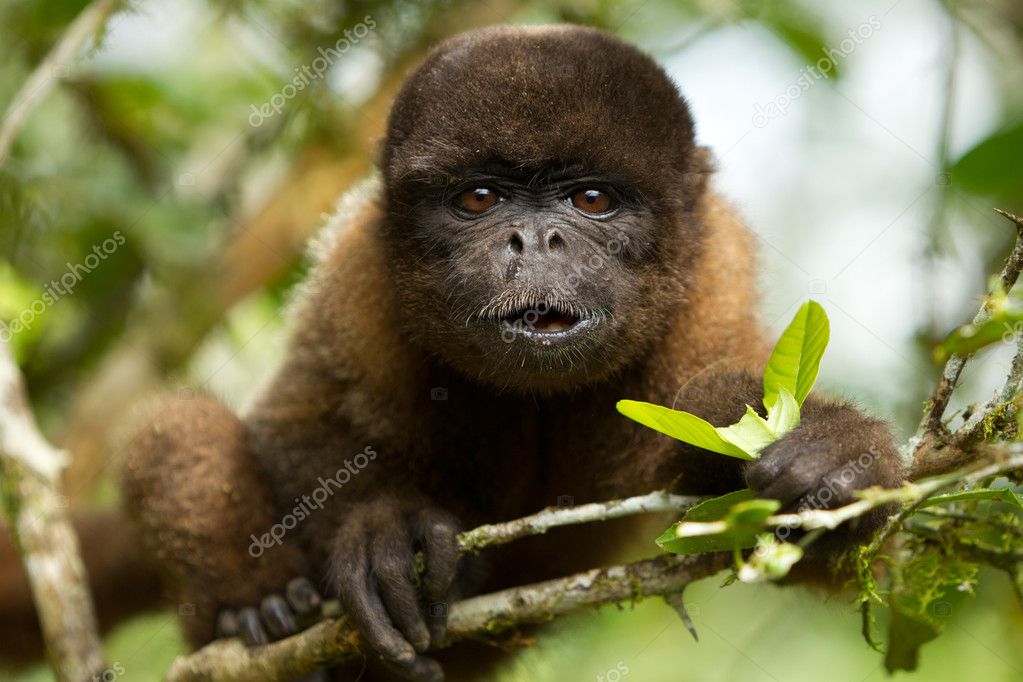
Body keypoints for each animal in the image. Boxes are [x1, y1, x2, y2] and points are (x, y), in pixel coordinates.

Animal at [0, 23, 904, 682]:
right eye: (478, 199)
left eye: (591, 200)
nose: (532, 240)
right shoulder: (357, 270)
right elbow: (299, 424)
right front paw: (385, 533)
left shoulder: (714, 268)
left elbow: (714, 425)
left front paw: (833, 456)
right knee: (174, 429)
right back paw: (252, 612)